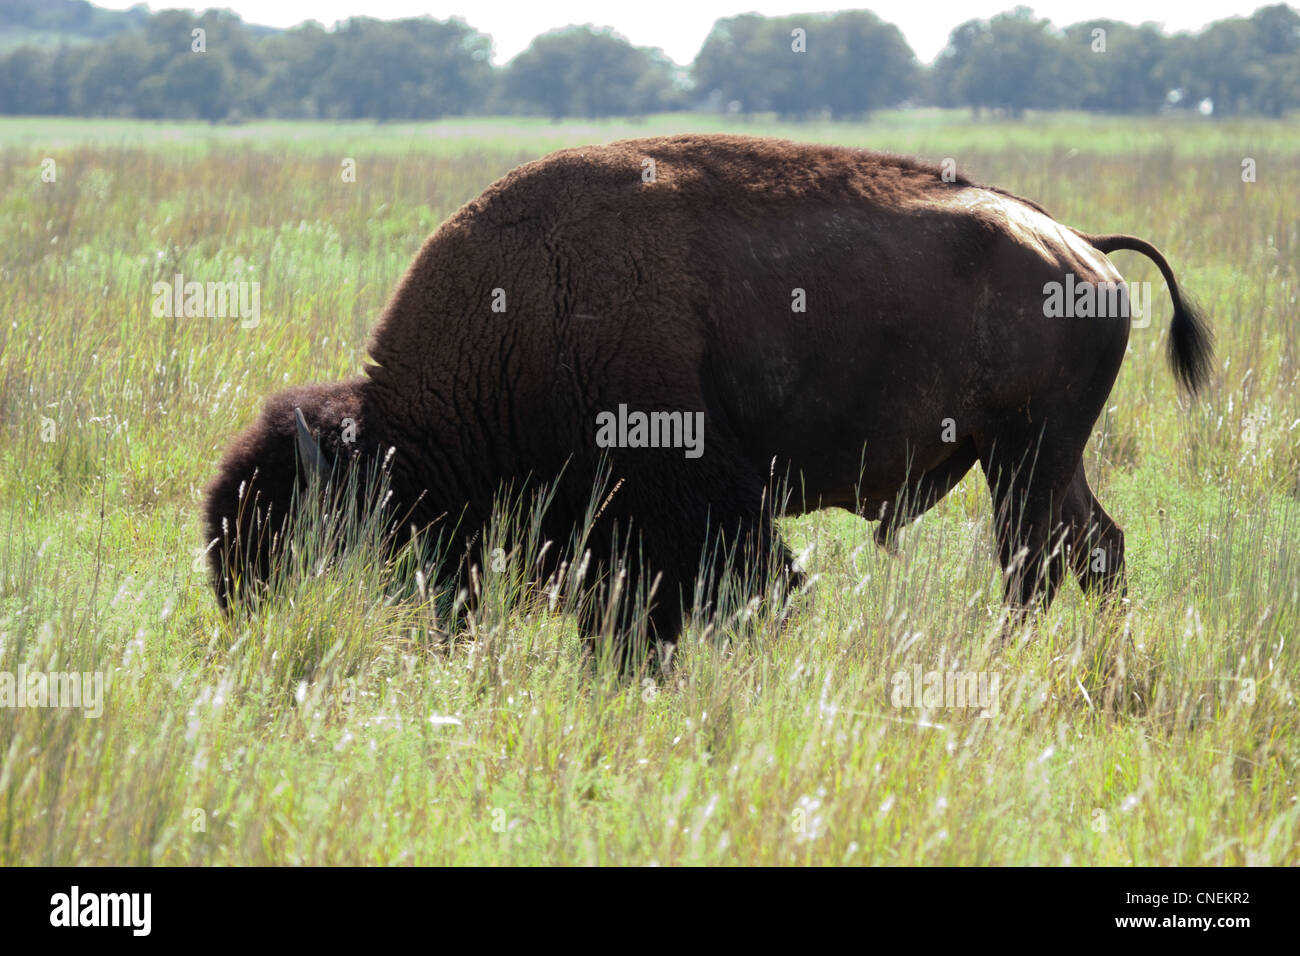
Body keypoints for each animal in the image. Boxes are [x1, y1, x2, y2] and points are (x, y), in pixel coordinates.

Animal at [203, 134, 1212, 658]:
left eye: (300, 522)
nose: (242, 608)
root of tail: (1079, 243)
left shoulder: (688, 493)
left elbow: (739, 581)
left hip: (1023, 461)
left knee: (1034, 567)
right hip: (1047, 461)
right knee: (1095, 549)